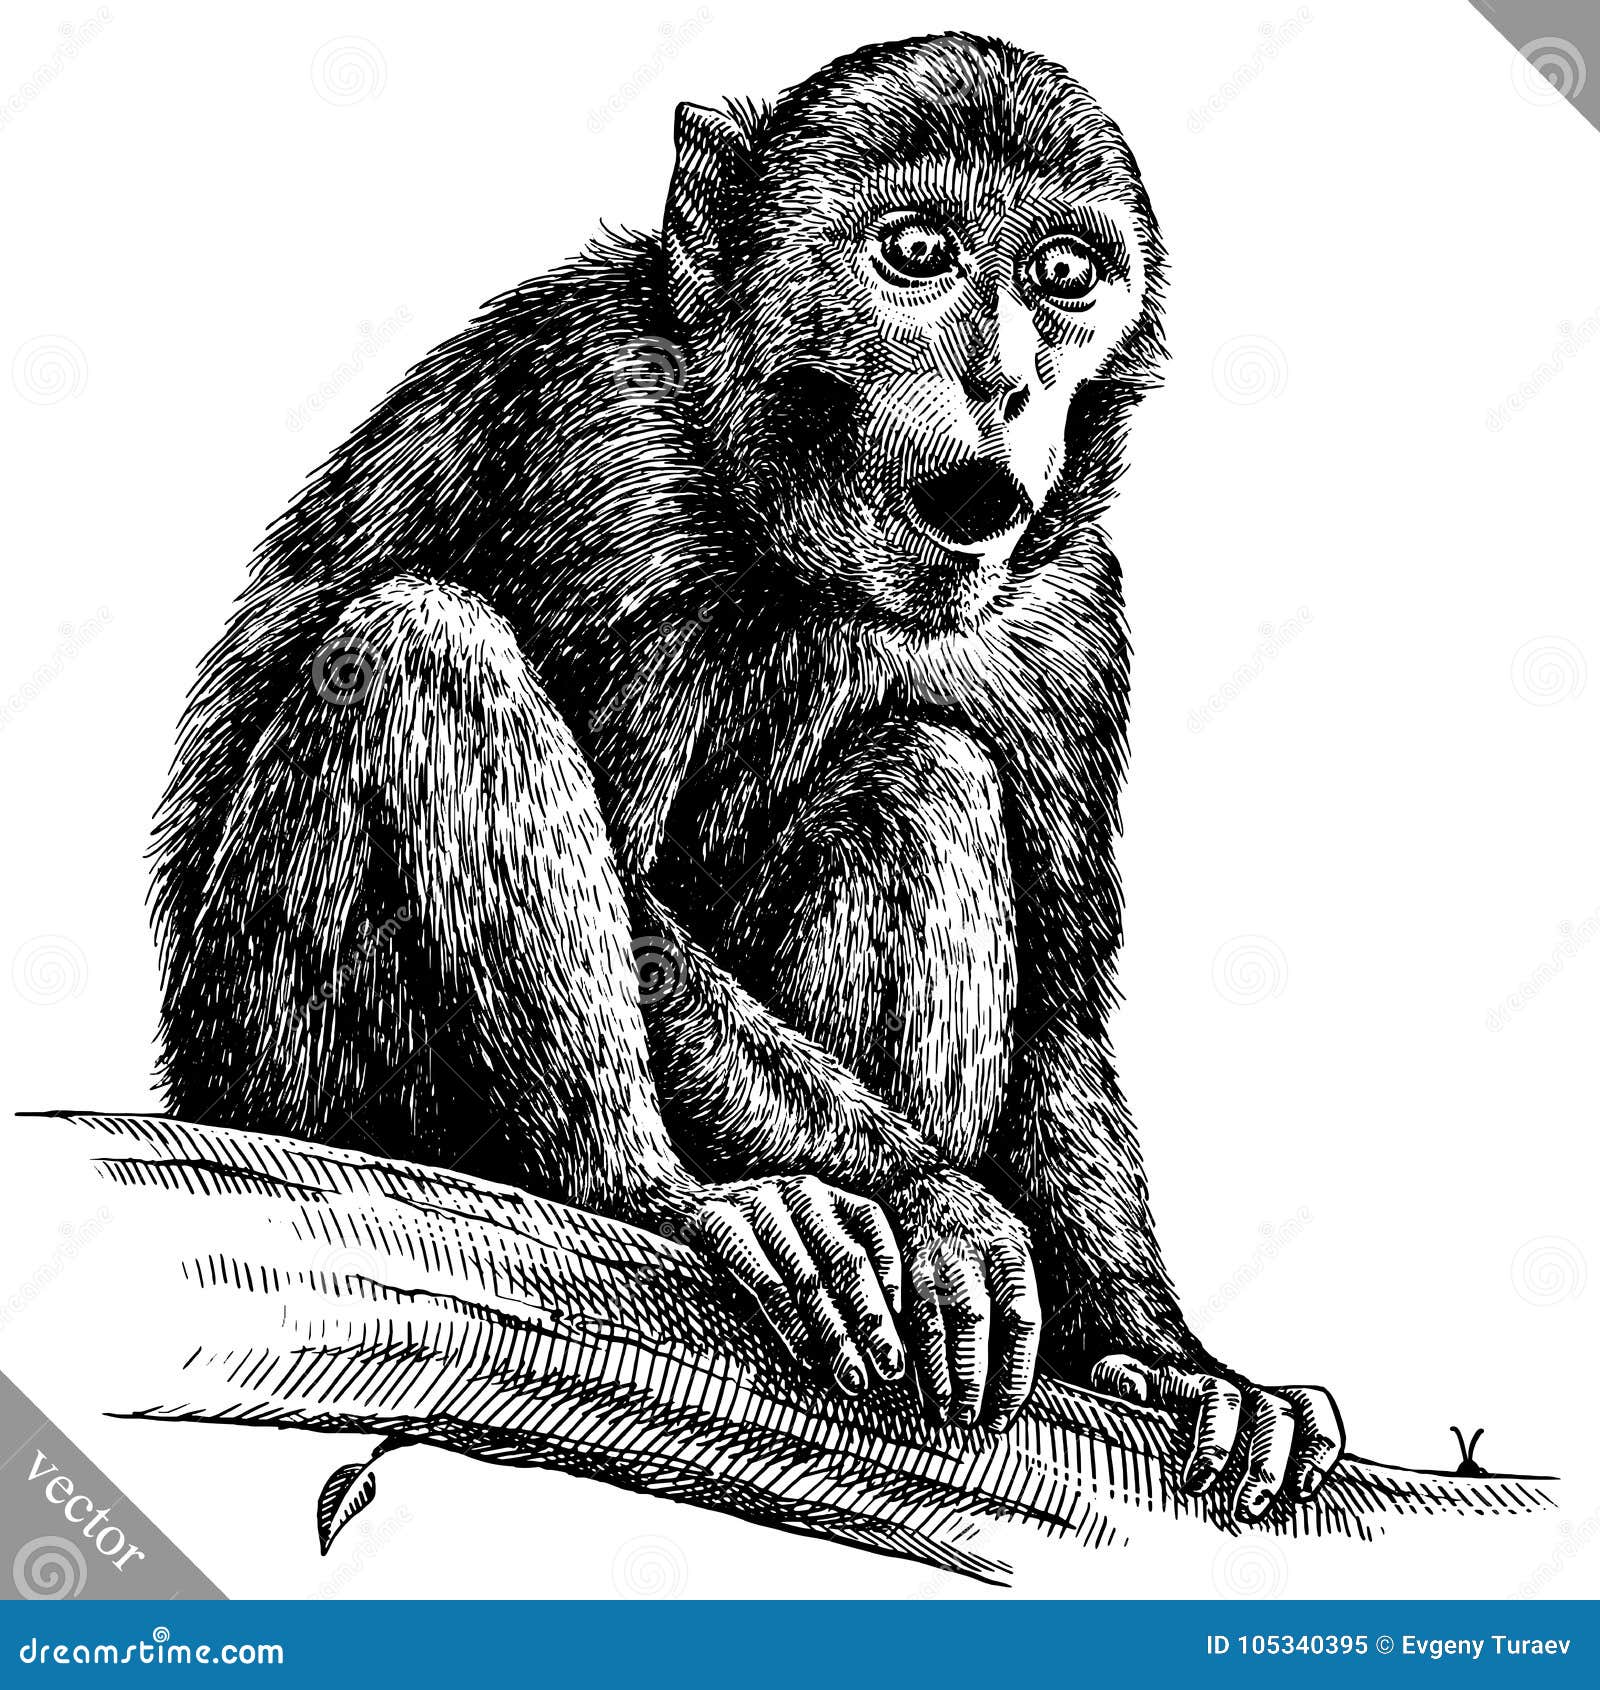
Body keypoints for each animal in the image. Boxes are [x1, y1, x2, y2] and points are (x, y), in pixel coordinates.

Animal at [152, 33, 1344, 1521]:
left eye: (1065, 277)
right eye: (915, 251)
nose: (1008, 385)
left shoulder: (1067, 607)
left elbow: (1063, 1014)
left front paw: (1162, 1359)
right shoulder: (604, 454)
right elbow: (625, 880)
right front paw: (927, 1194)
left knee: (928, 774)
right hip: (278, 1069)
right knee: (422, 648)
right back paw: (648, 1190)